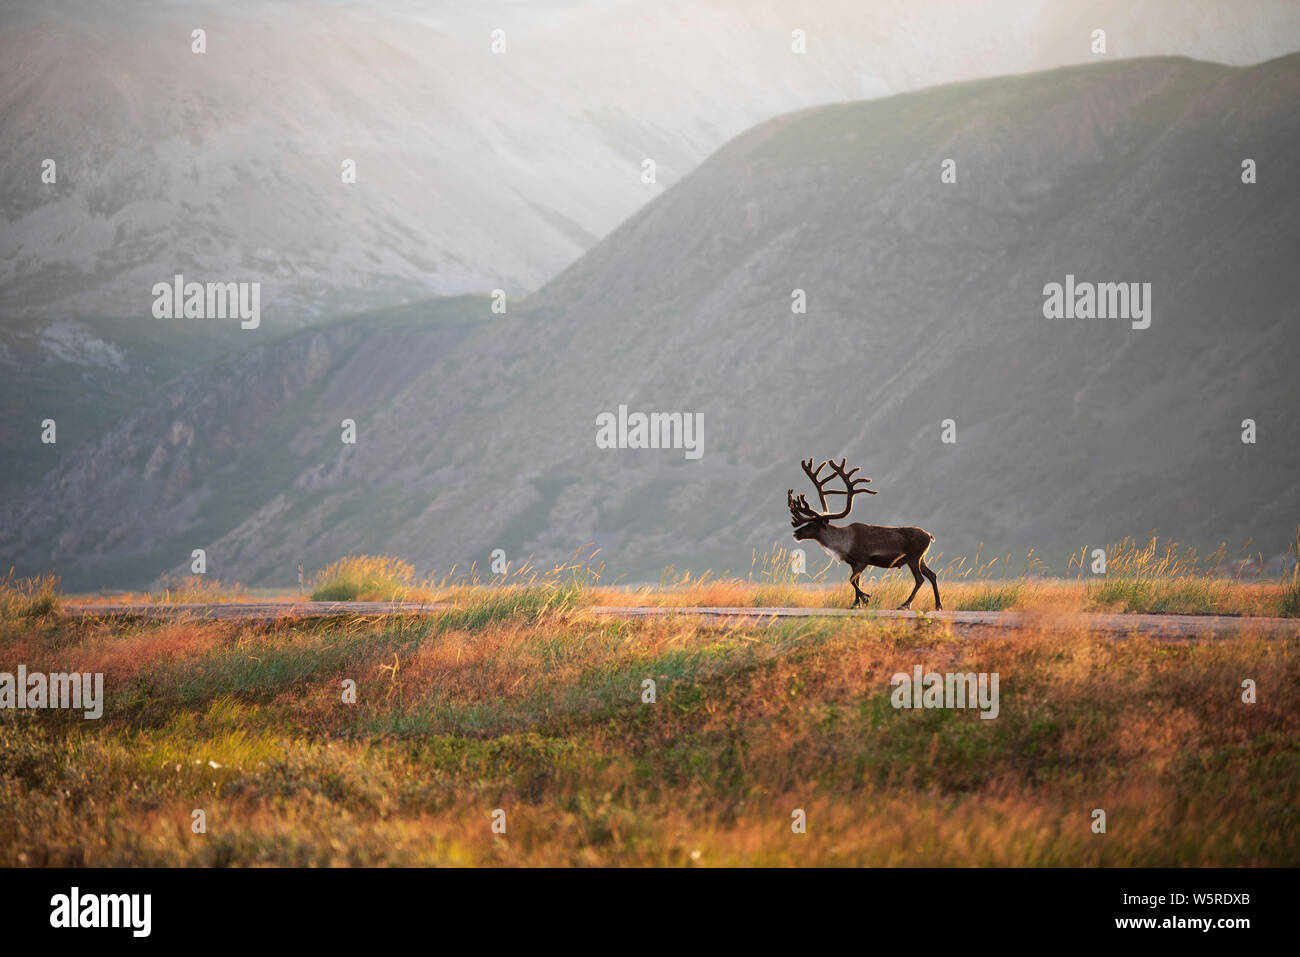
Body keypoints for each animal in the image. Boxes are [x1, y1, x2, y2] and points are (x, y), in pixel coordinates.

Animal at [787, 457, 941, 610]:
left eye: (812, 524)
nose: (795, 533)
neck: (844, 543)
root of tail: (929, 536)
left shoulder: (863, 560)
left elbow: (852, 580)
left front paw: (865, 598)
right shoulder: (853, 563)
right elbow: (856, 581)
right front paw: (855, 603)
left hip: (913, 558)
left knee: (920, 579)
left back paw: (905, 604)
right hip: (921, 558)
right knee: (932, 575)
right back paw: (938, 605)